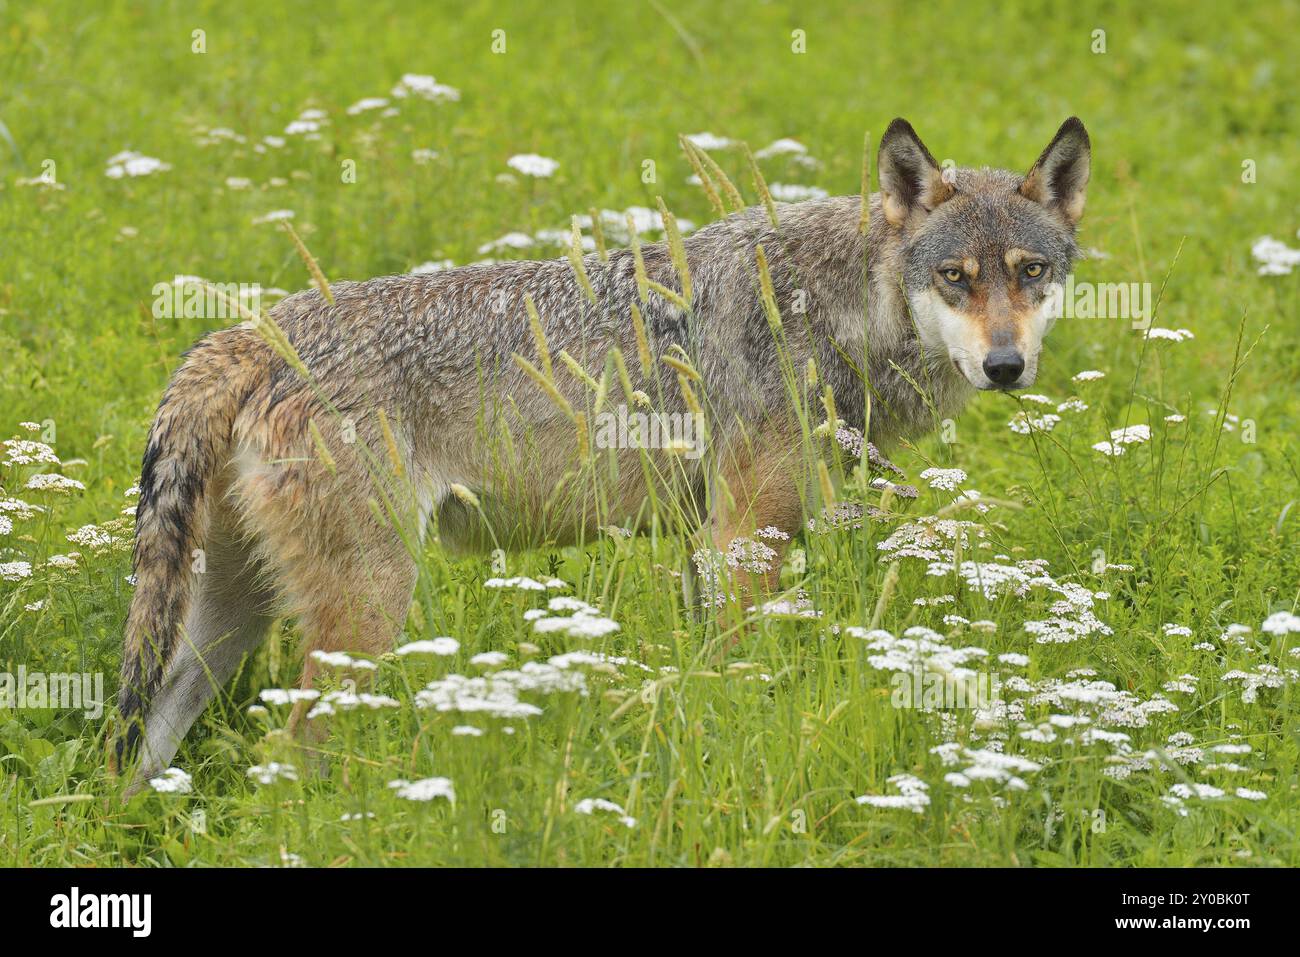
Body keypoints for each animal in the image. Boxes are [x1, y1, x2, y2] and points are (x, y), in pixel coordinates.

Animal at [113, 117, 1090, 788]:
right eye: (955, 278)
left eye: (1030, 273)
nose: (1006, 366)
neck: (832, 307)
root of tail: (248, 333)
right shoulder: (746, 538)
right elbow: (744, 677)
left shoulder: (705, 543)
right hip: (362, 616)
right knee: (289, 756)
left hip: (230, 620)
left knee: (145, 742)